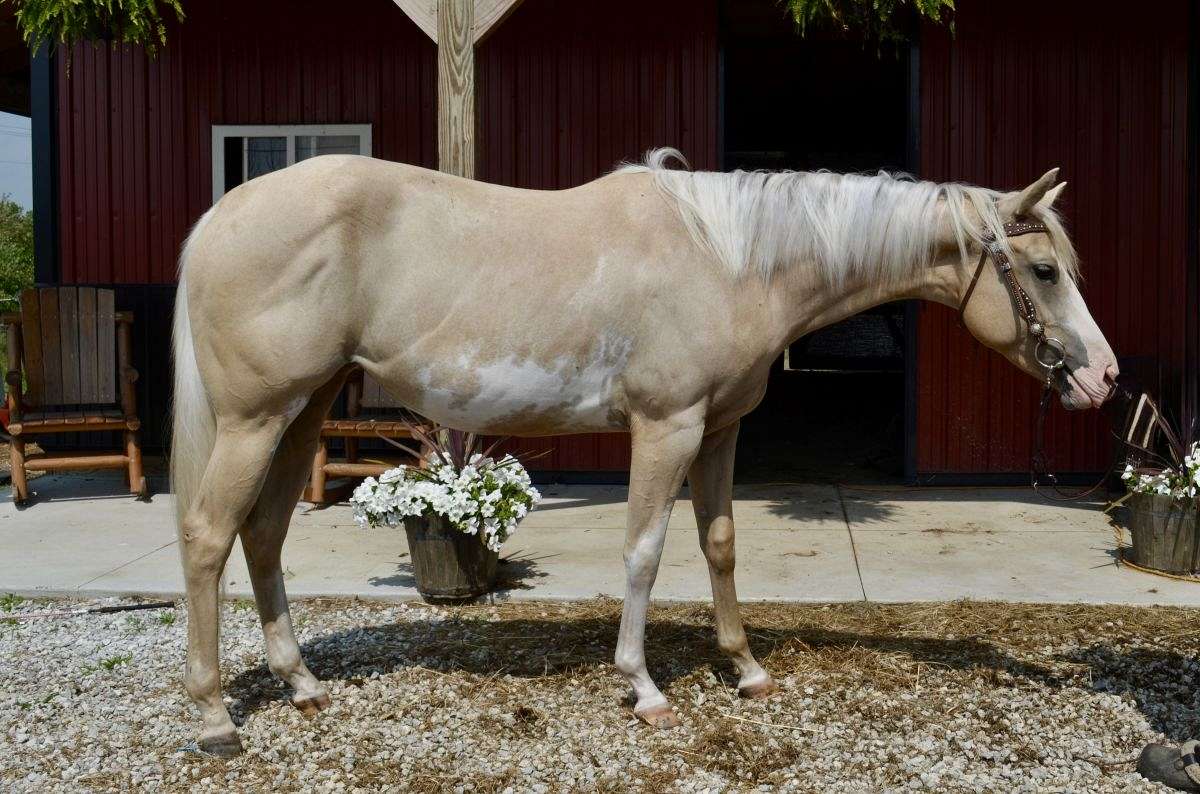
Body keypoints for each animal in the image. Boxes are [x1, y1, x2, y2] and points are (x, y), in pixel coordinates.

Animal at [171, 149, 1118, 754]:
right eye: (1043, 272)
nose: (1103, 377)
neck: (729, 260)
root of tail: (222, 214)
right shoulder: (668, 426)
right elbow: (645, 550)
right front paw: (645, 687)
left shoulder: (722, 429)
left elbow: (719, 544)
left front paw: (747, 670)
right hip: (256, 418)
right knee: (210, 537)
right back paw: (216, 720)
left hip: (303, 412)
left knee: (263, 535)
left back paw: (301, 685)